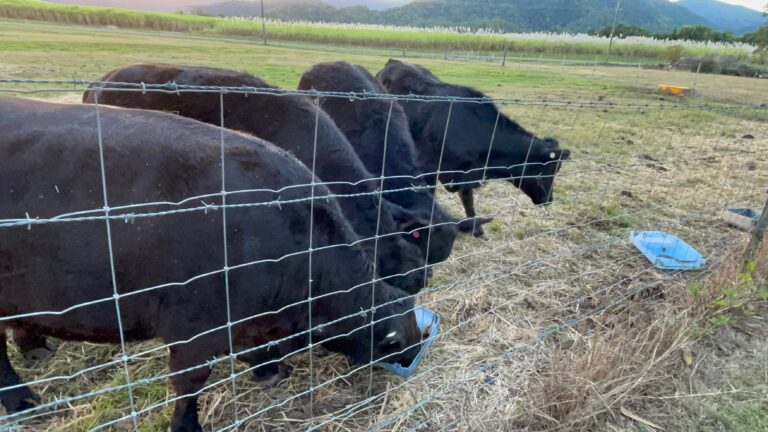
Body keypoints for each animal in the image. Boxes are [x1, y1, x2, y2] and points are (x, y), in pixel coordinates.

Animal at [0, 97, 422, 432]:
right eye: (400, 344)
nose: (413, 359)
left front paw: (266, 367)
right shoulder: (194, 329)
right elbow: (189, 384)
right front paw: (186, 425)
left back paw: (33, 345)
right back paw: (21, 399)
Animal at [377, 59, 571, 237]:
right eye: (547, 170)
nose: (548, 200)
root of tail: (394, 62)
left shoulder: (465, 175)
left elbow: (468, 199)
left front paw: (477, 229)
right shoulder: (428, 169)